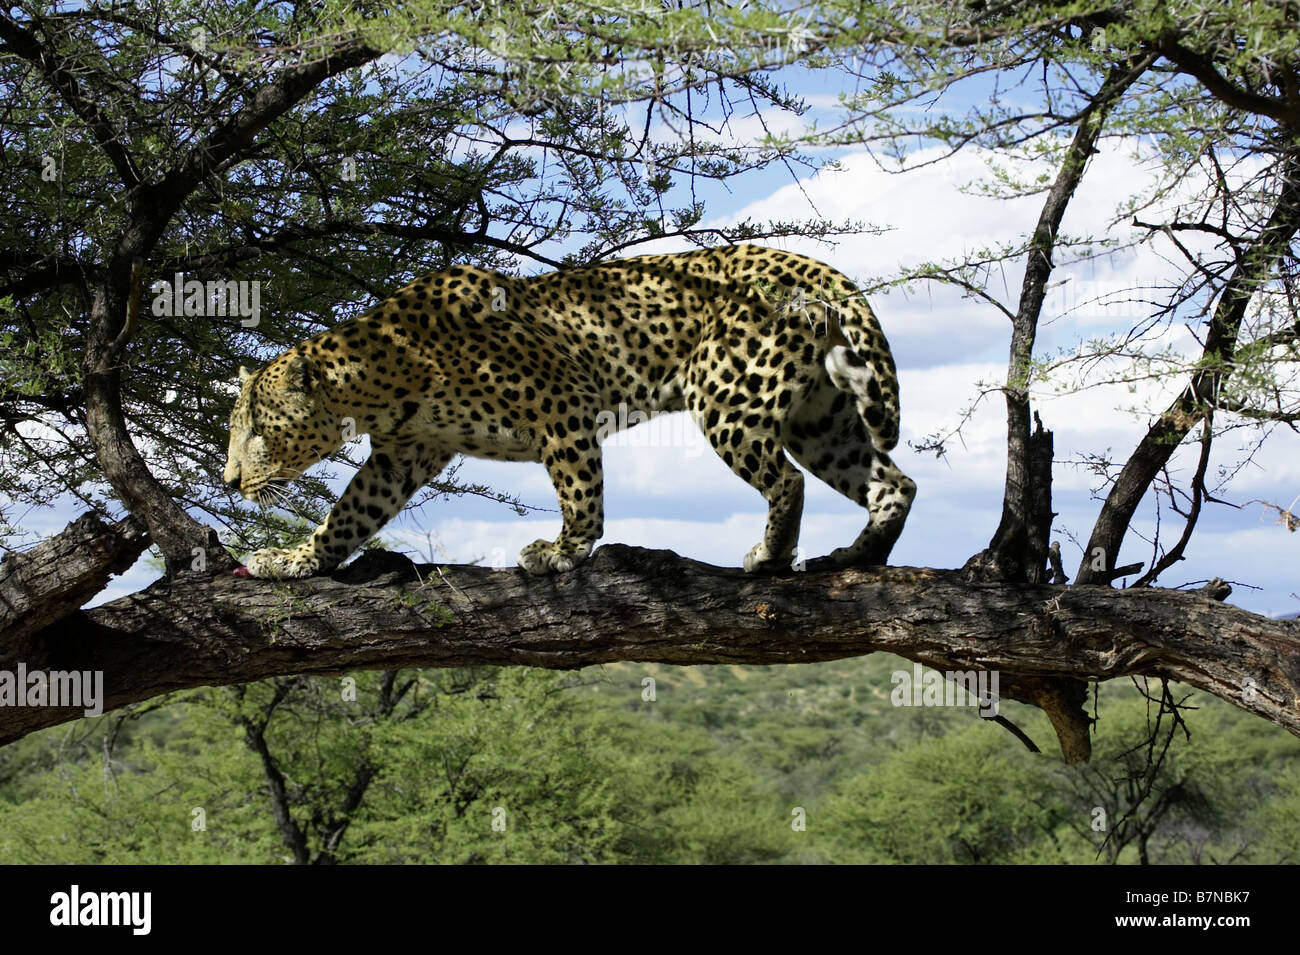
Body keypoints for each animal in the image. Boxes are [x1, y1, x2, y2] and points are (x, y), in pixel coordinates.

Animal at [223, 243, 916, 578]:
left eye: (256, 431)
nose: (228, 480)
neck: (382, 373)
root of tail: (798, 259)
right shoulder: (403, 452)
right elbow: (348, 514)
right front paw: (297, 561)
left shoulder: (564, 406)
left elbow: (580, 489)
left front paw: (562, 552)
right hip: (818, 418)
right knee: (894, 481)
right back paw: (858, 557)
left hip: (727, 397)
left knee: (788, 482)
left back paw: (771, 558)